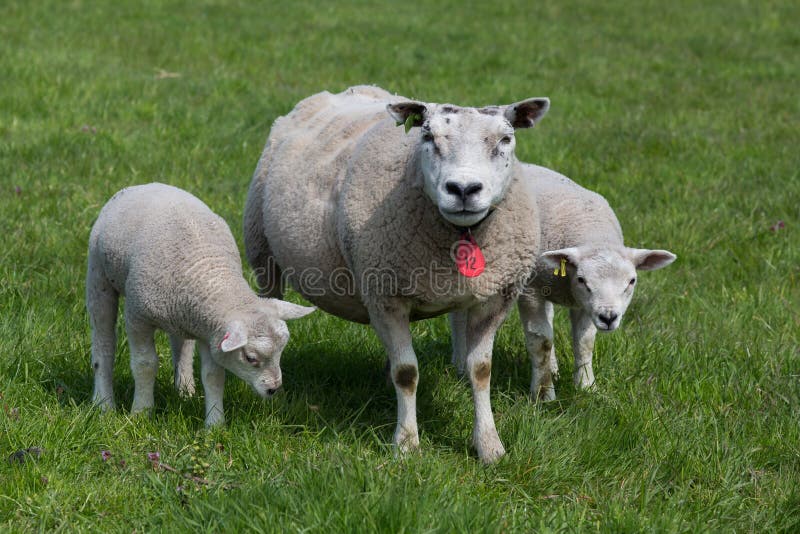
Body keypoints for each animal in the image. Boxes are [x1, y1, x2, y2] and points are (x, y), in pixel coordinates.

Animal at [86, 183, 315, 426]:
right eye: (250, 358)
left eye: (281, 352)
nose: (273, 390)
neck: (209, 274)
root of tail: (145, 185)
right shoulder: (138, 318)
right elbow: (145, 364)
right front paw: (141, 413)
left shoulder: (210, 332)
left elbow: (213, 376)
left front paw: (215, 424)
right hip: (98, 275)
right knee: (104, 341)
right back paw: (103, 403)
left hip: (184, 319)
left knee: (183, 347)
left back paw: (185, 390)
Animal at [244, 85, 550, 462]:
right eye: (428, 136)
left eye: (506, 139)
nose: (463, 190)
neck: (460, 234)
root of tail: (341, 91)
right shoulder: (385, 296)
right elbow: (406, 373)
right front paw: (406, 444)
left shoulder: (496, 296)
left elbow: (481, 370)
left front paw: (489, 445)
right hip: (262, 250)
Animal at [451, 164, 676, 401]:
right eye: (582, 279)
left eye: (631, 281)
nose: (608, 318)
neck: (592, 233)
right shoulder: (530, 291)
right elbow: (541, 340)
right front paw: (543, 394)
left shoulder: (585, 305)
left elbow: (584, 342)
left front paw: (586, 386)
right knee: (459, 315)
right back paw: (459, 365)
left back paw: (553, 367)